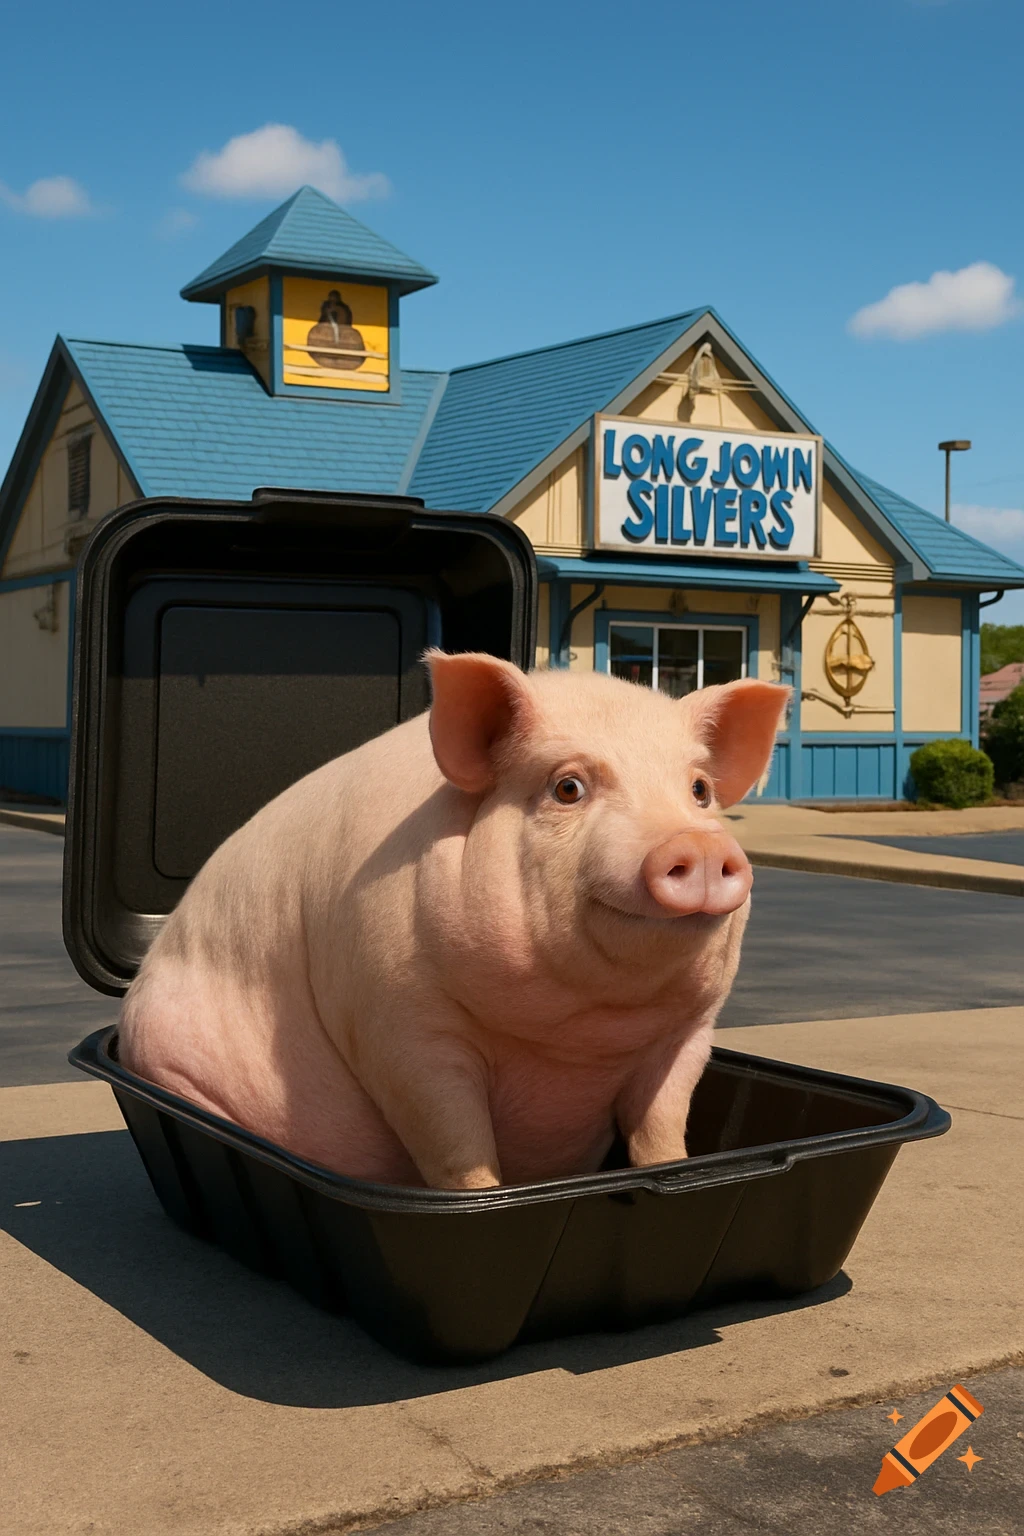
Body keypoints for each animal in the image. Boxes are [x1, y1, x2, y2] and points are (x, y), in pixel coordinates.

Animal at [119, 653, 789, 1190]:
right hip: (170, 1064)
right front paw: (485, 1196)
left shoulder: (690, 1033)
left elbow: (661, 1126)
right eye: (567, 788)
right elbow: (455, 1145)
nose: (696, 843)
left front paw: (673, 1170)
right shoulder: (399, 1023)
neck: (578, 1037)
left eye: (699, 791)